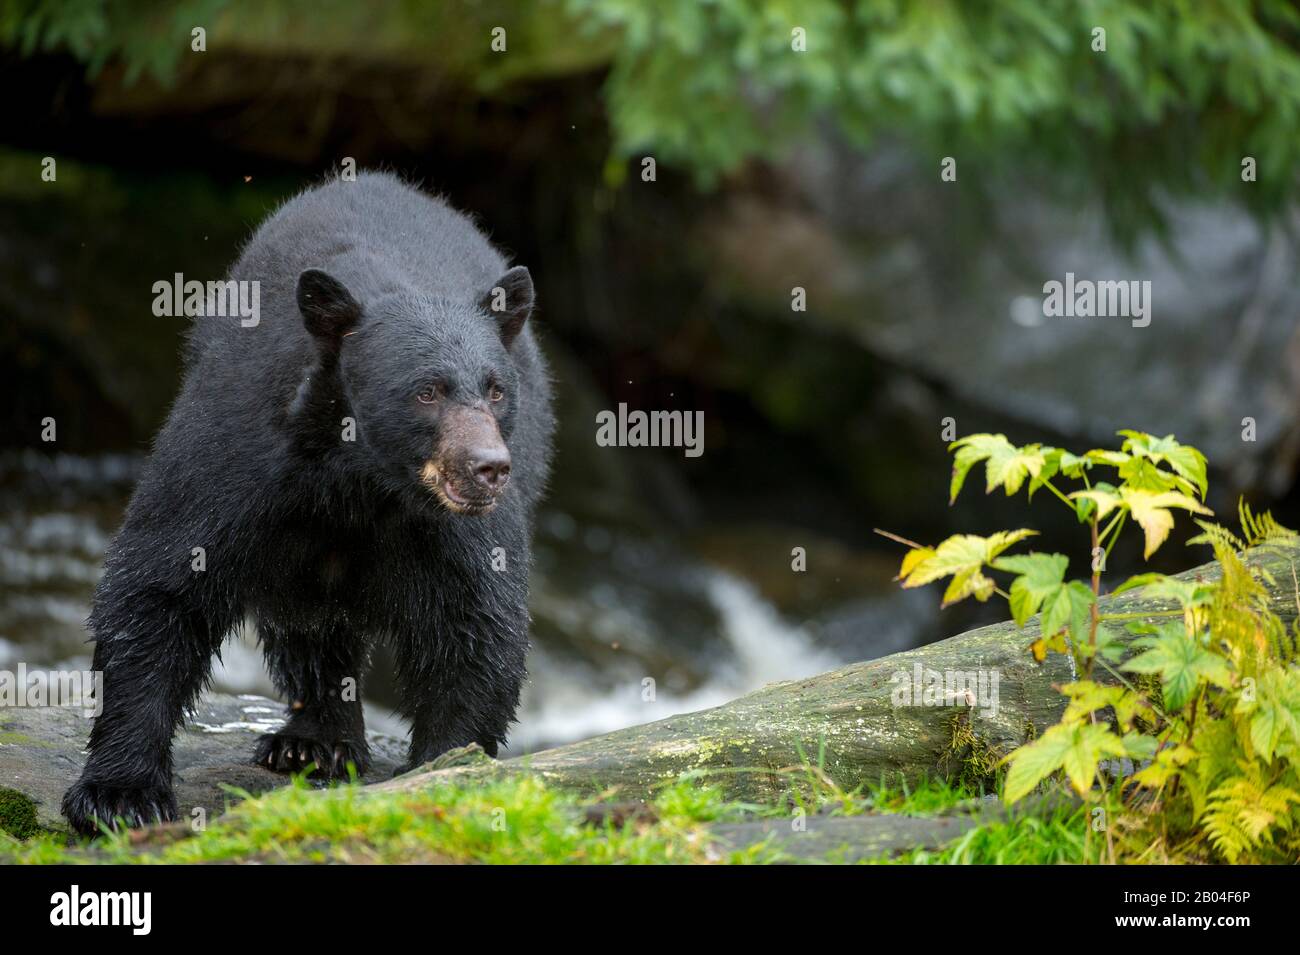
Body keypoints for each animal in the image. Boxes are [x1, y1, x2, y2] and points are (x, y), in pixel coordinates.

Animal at [62, 172, 554, 835]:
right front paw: (120, 795)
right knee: (308, 623)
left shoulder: (453, 529)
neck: (361, 481)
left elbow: (475, 622)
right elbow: (162, 582)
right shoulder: (240, 458)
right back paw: (313, 741)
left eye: (496, 389)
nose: (489, 468)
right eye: (426, 391)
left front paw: (444, 766)